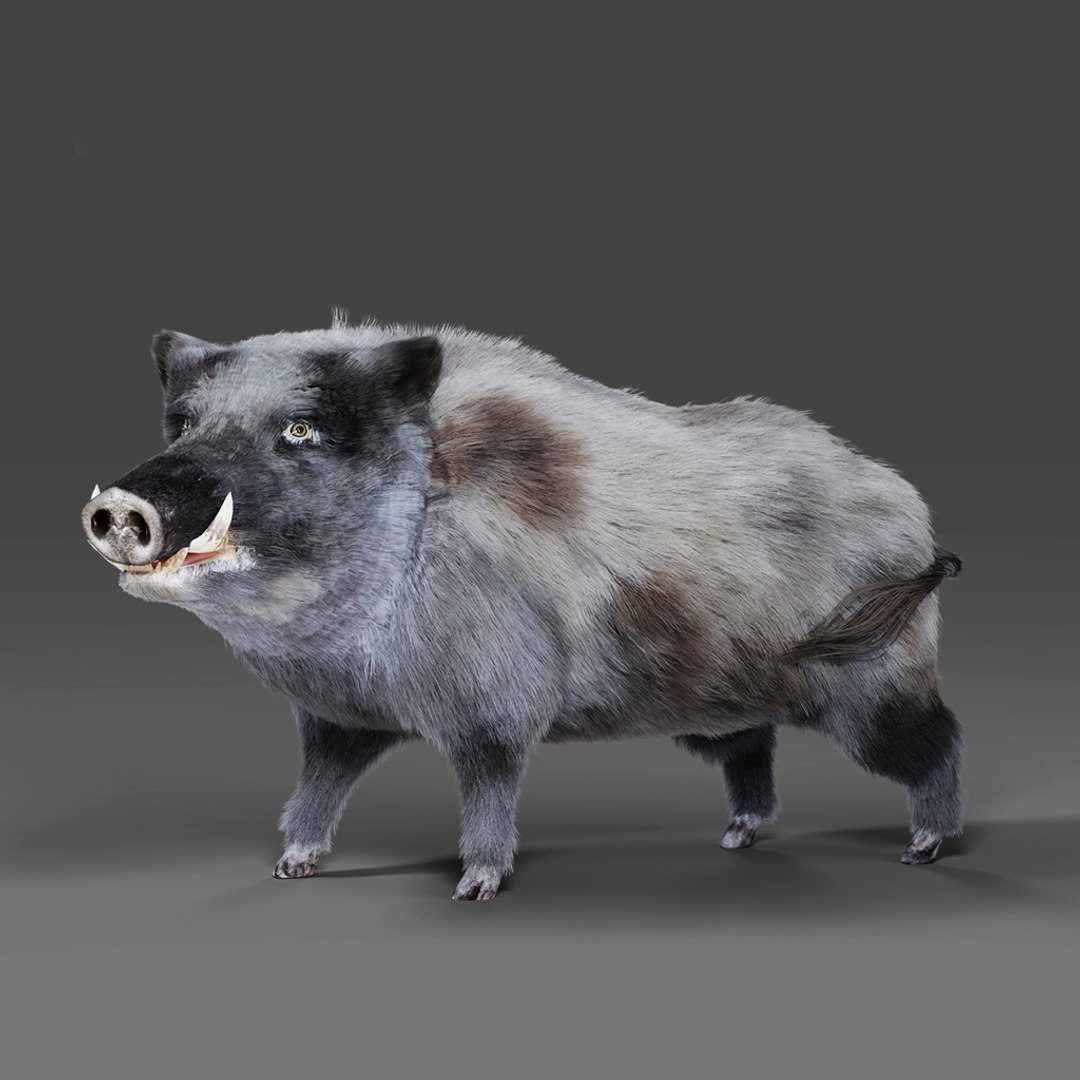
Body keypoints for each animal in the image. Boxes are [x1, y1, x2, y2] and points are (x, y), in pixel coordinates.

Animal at [81, 312, 963, 900]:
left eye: (299, 429)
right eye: (183, 424)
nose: (121, 505)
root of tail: (911, 511)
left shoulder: (495, 700)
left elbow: (489, 780)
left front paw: (474, 886)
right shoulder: (338, 717)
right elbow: (318, 787)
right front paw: (290, 868)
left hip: (873, 681)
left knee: (939, 740)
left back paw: (925, 848)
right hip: (721, 707)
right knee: (753, 754)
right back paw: (735, 838)